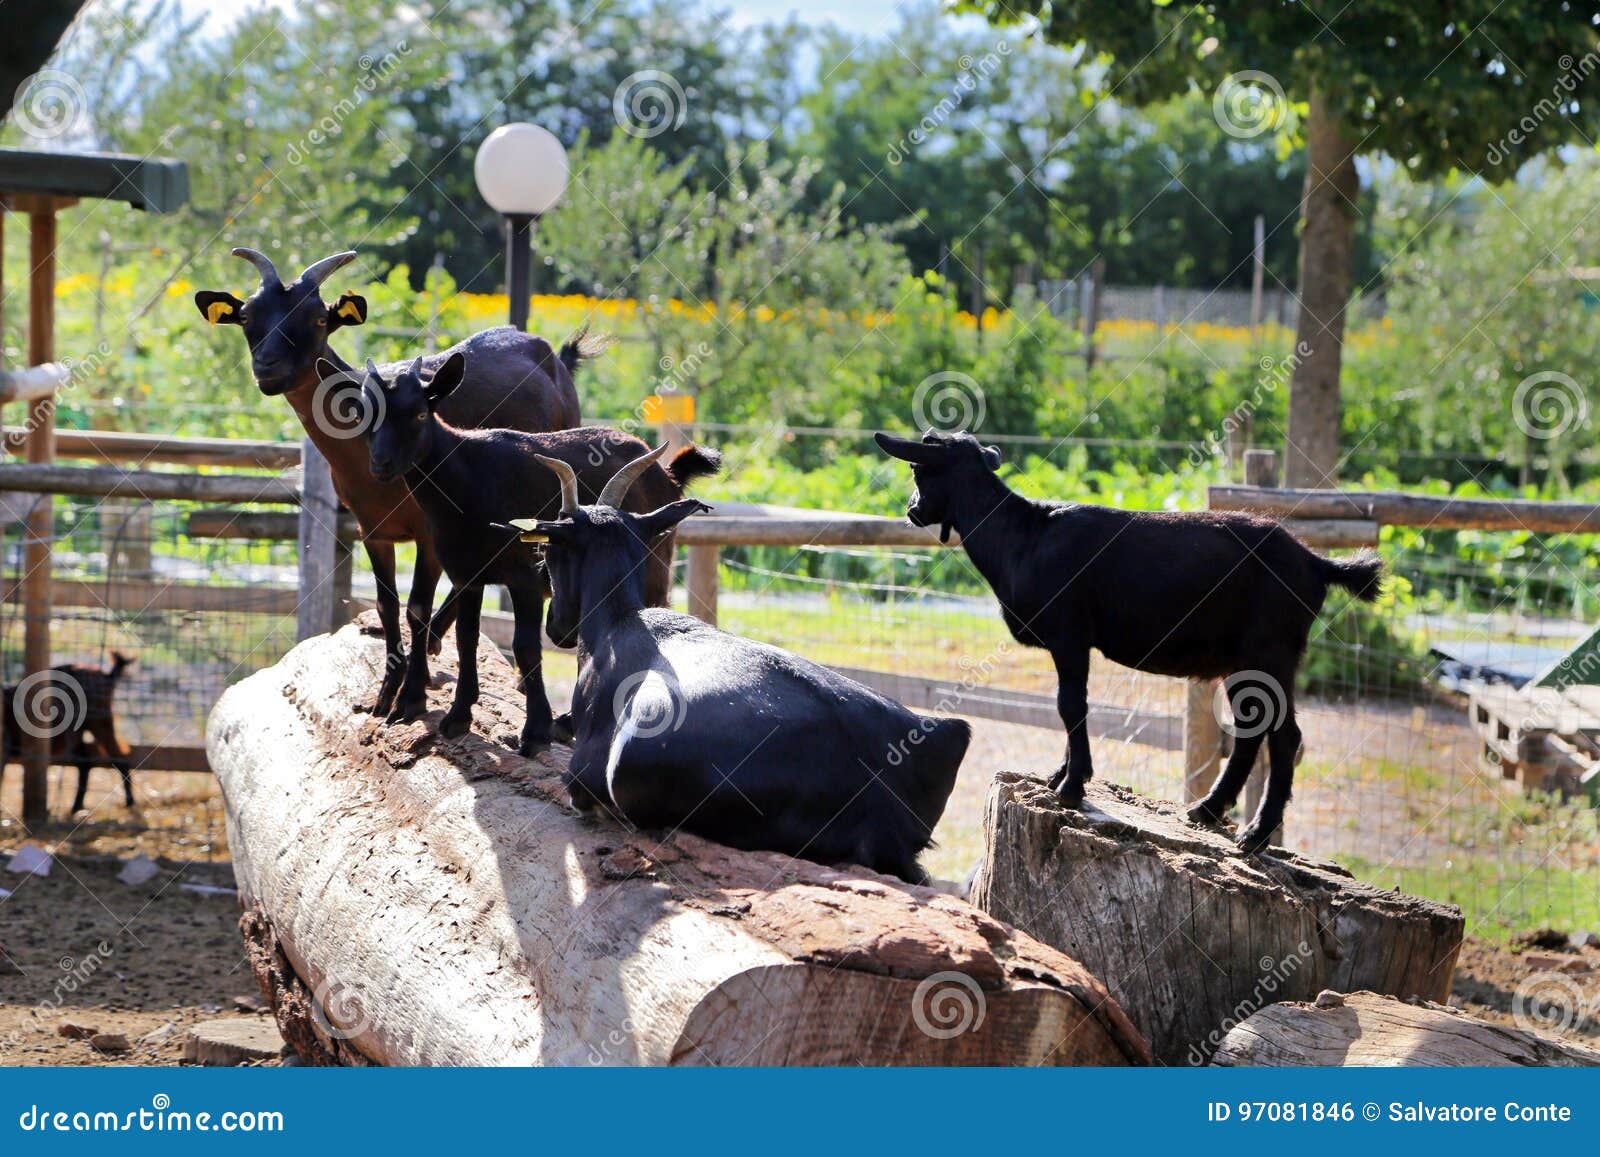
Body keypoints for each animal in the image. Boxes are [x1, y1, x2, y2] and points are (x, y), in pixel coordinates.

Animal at [1, 653, 135, 814]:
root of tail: (107, 676)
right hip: (76, 733)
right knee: (85, 762)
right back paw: (76, 807)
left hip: (100, 722)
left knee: (119, 756)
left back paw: (129, 802)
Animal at [195, 247, 600, 720]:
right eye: (246, 316)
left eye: (317, 318)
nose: (267, 367)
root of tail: (555, 356)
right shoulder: (373, 528)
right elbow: (386, 605)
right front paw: (386, 692)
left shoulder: (428, 529)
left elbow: (416, 607)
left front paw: (411, 696)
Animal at [347, 352, 721, 755]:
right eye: (368, 414)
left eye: (419, 414)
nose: (380, 463)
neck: (466, 478)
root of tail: (668, 475)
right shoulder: (467, 575)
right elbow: (467, 638)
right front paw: (458, 717)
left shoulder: (522, 574)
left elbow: (525, 646)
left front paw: (535, 731)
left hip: (654, 564)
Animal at [876, 430, 1382, 854]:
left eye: (918, 469)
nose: (911, 510)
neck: (1024, 538)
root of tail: (1317, 564)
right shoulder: (1073, 641)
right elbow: (1072, 704)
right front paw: (1060, 776)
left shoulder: (1069, 634)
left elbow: (1069, 704)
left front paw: (1071, 786)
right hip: (1243, 660)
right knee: (1250, 729)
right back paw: (1206, 811)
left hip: (1270, 652)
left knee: (1284, 735)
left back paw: (1255, 835)